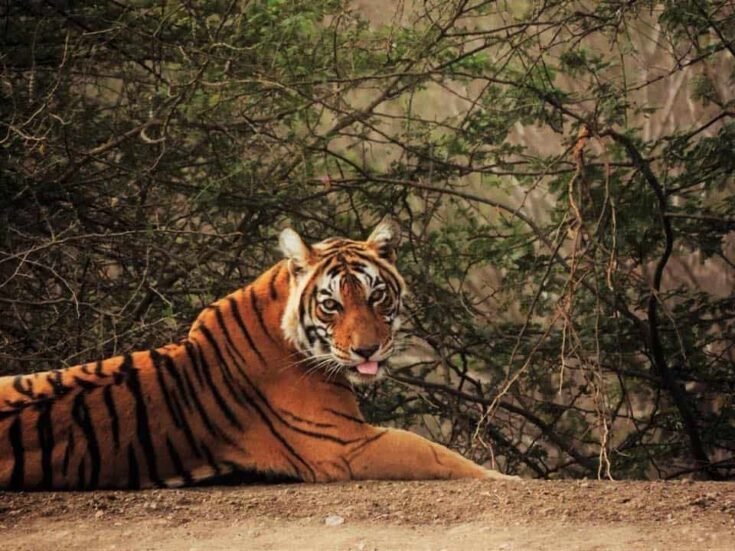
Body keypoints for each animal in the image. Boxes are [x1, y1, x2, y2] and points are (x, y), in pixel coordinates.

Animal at [0, 220, 516, 489]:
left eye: (376, 297)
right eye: (332, 304)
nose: (367, 349)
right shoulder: (345, 445)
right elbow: (437, 455)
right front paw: (504, 479)